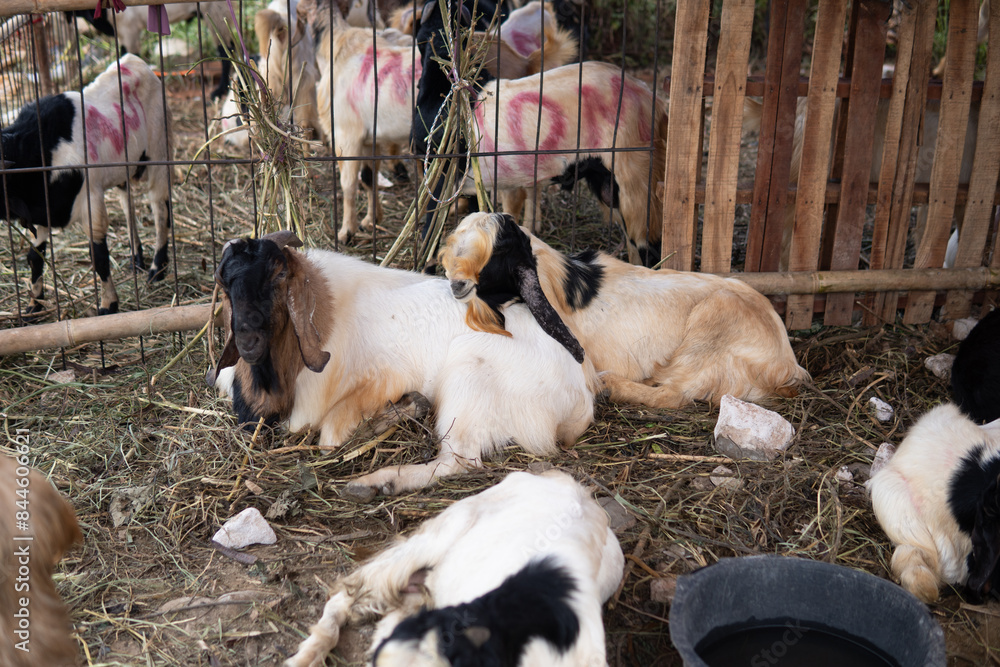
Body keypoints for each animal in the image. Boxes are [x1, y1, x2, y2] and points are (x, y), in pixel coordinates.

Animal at [0, 54, 173, 316]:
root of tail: (133, 60)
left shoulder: (91, 200)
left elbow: (98, 256)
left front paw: (109, 305)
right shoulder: (44, 211)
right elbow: (35, 256)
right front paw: (34, 305)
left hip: (159, 153)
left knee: (159, 207)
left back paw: (157, 269)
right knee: (127, 203)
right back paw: (137, 259)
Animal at [208, 230, 596, 496]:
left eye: (278, 276)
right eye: (224, 282)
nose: (247, 340)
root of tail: (579, 398)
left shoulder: (384, 377)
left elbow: (330, 436)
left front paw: (397, 413)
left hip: (467, 379)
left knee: (458, 461)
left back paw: (375, 482)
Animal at [414, 1, 667, 266]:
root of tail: (656, 103)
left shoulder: (441, 177)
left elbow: (431, 229)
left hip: (636, 179)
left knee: (647, 242)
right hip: (610, 183)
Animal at [441, 212, 811, 409]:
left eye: (497, 255)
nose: (456, 284)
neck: (557, 282)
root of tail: (785, 365)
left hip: (710, 331)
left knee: (675, 395)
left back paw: (612, 386)